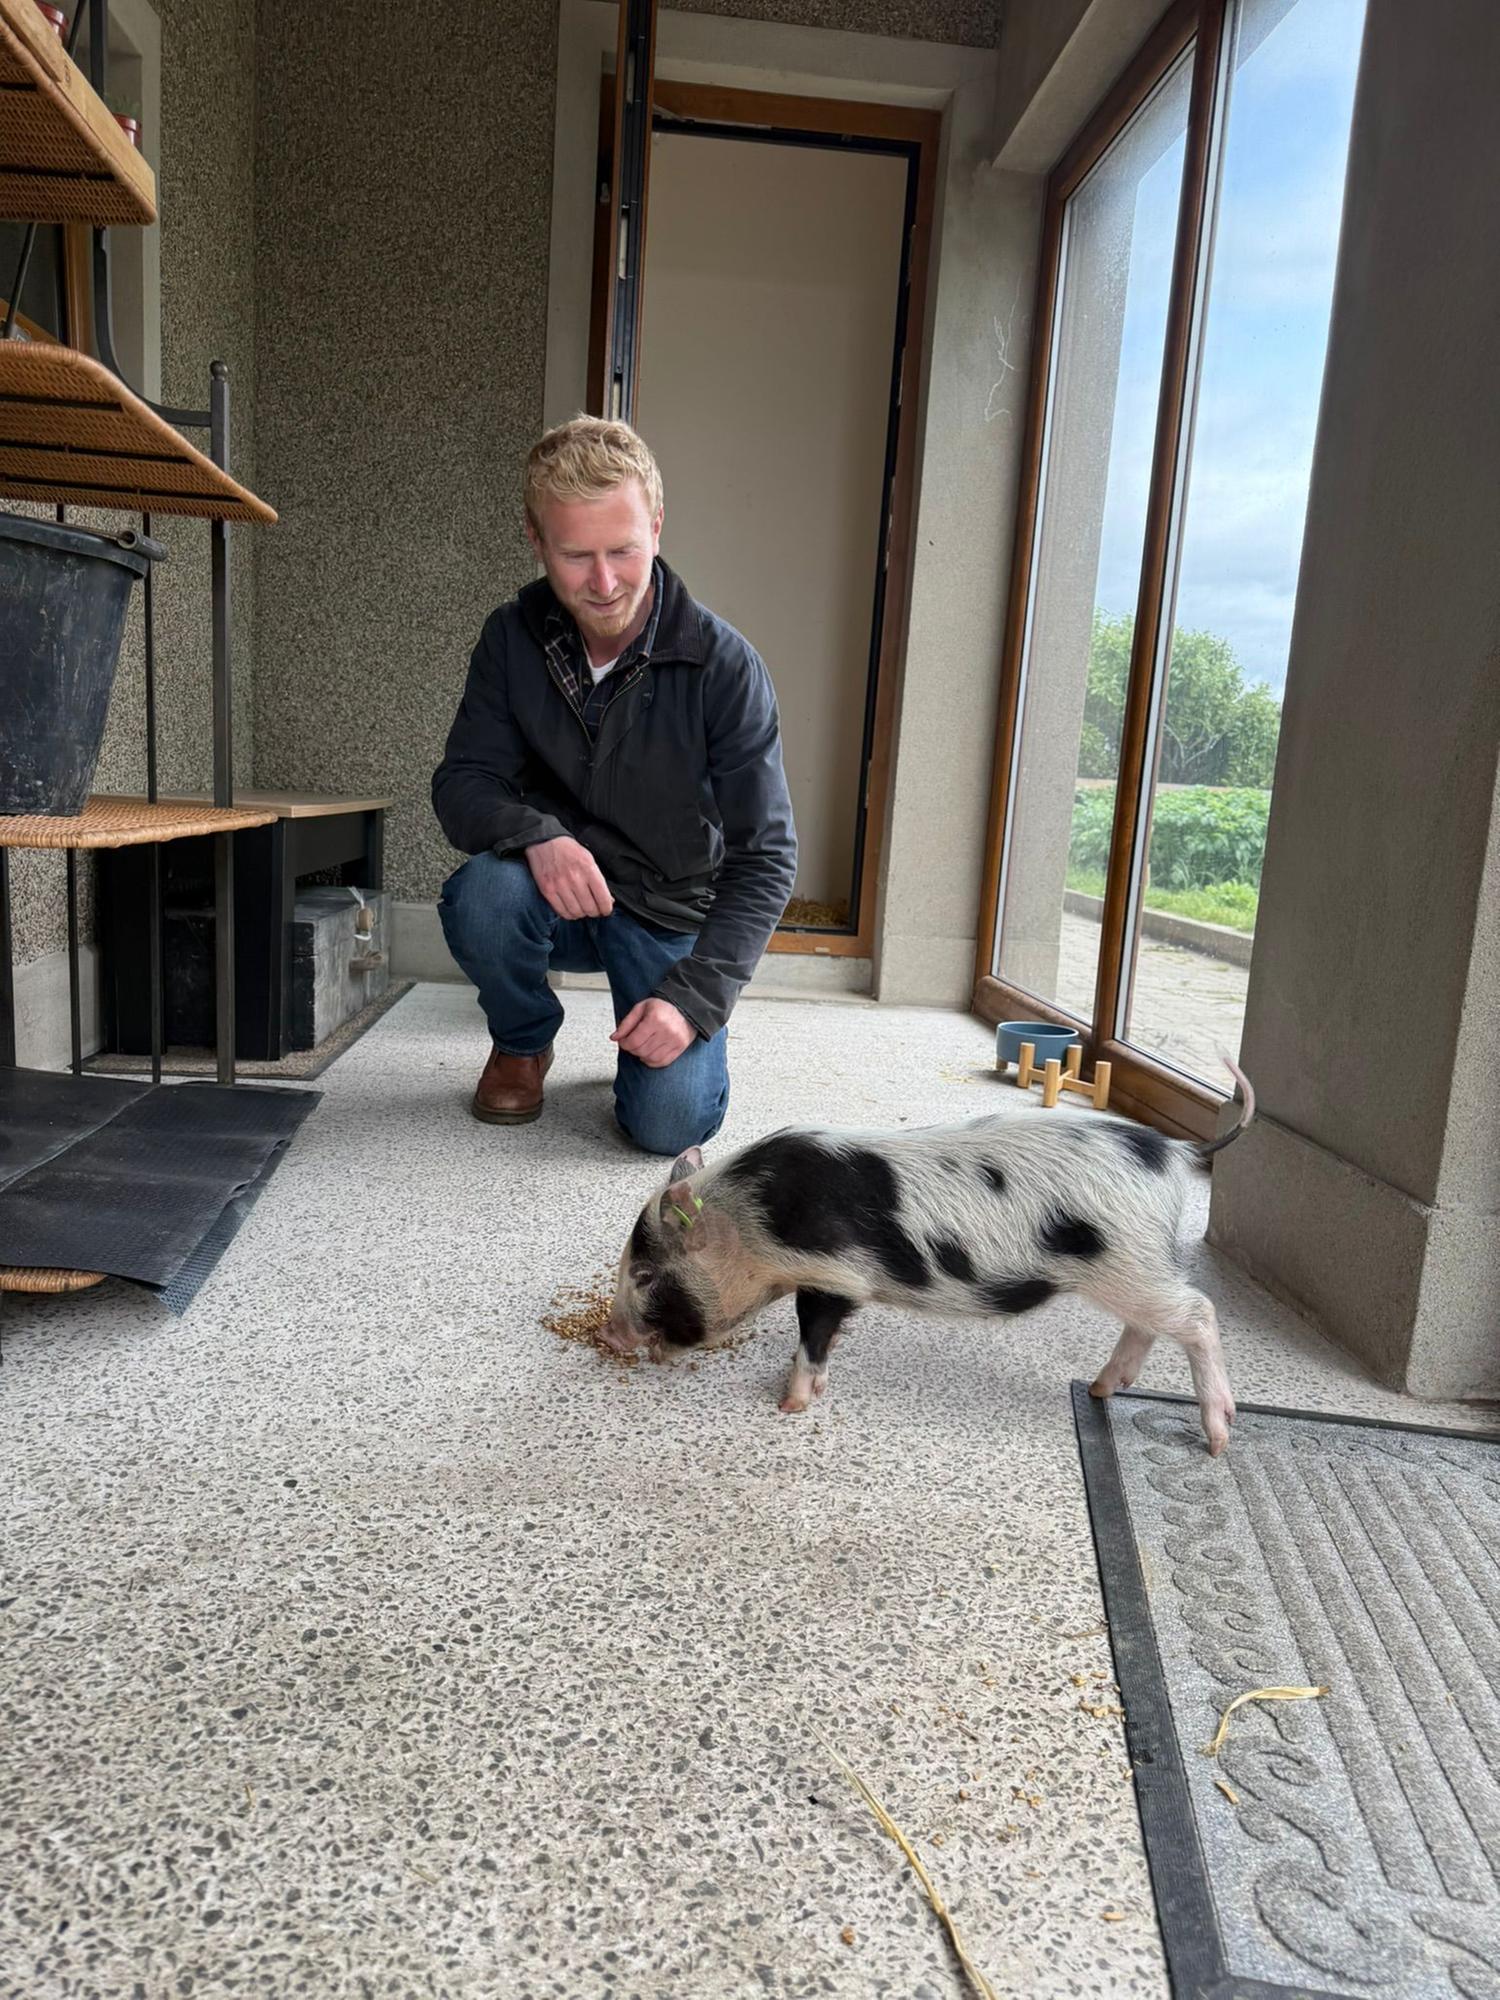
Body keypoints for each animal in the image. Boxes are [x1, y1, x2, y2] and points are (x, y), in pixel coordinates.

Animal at [603, 1061, 1255, 1456]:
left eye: (645, 1274)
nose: (609, 1336)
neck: (751, 1218)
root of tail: (1175, 1151)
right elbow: (822, 1337)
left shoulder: (832, 1275)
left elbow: (813, 1332)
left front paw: (789, 1404)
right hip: (1135, 1266)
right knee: (1149, 1325)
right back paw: (1100, 1391)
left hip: (1127, 1261)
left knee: (1198, 1313)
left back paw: (1218, 1439)